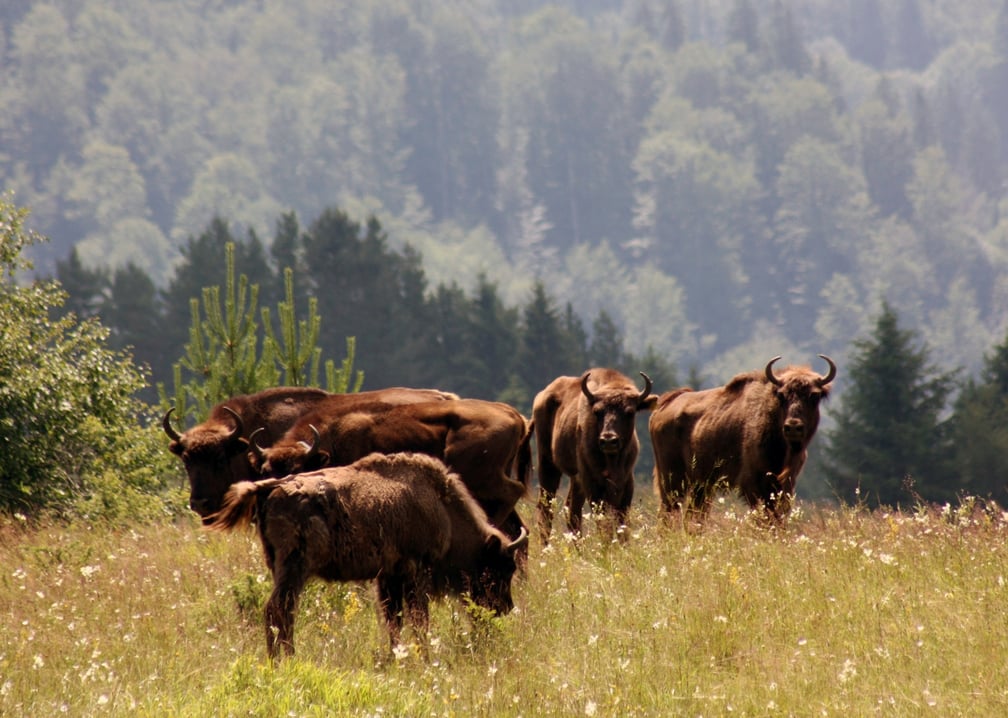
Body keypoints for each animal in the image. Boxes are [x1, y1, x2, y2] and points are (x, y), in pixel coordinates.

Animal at [206, 452, 528, 658]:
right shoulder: (416, 572)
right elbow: (418, 619)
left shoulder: (389, 577)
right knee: (279, 610)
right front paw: (423, 656)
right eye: (500, 568)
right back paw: (286, 659)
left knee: (282, 612)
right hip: (294, 569)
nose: (506, 607)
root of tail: (271, 487)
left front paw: (398, 656)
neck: (442, 509)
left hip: (281, 569)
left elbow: (394, 620)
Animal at [531, 368, 657, 541]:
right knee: (546, 509)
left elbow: (622, 521)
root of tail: (543, 395)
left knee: (571, 513)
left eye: (630, 412)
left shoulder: (626, 480)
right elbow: (603, 521)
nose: (609, 440)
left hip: (575, 479)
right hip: (548, 464)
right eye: (597, 412)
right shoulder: (592, 482)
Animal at [650, 355, 836, 524]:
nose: (793, 426)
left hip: (701, 486)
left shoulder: (786, 484)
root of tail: (663, 405)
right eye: (782, 395)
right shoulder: (753, 484)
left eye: (814, 396)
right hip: (672, 480)